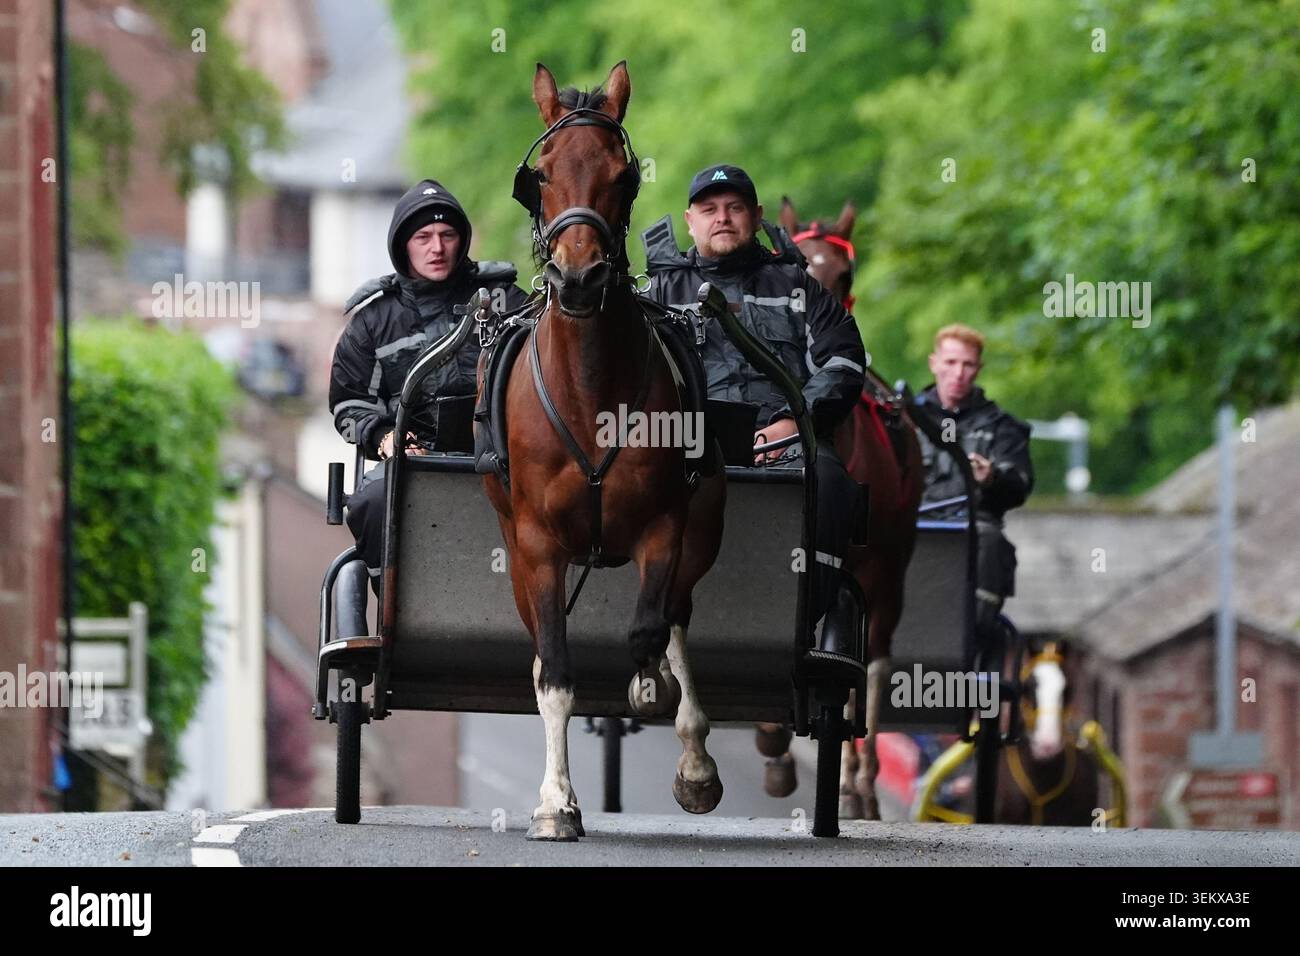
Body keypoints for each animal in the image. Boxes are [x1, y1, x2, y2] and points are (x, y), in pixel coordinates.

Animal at [481, 61, 727, 841]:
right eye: (542, 175)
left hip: (703, 525)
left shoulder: (666, 525)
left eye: (624, 175)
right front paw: (556, 804)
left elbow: (650, 627)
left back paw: (692, 752)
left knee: (676, 614)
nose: (580, 278)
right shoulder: (536, 544)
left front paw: (655, 688)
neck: (590, 389)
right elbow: (555, 673)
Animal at [752, 196, 925, 821]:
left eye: (846, 274)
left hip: (891, 567)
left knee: (872, 660)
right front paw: (774, 741)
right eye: (800, 260)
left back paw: (859, 786)